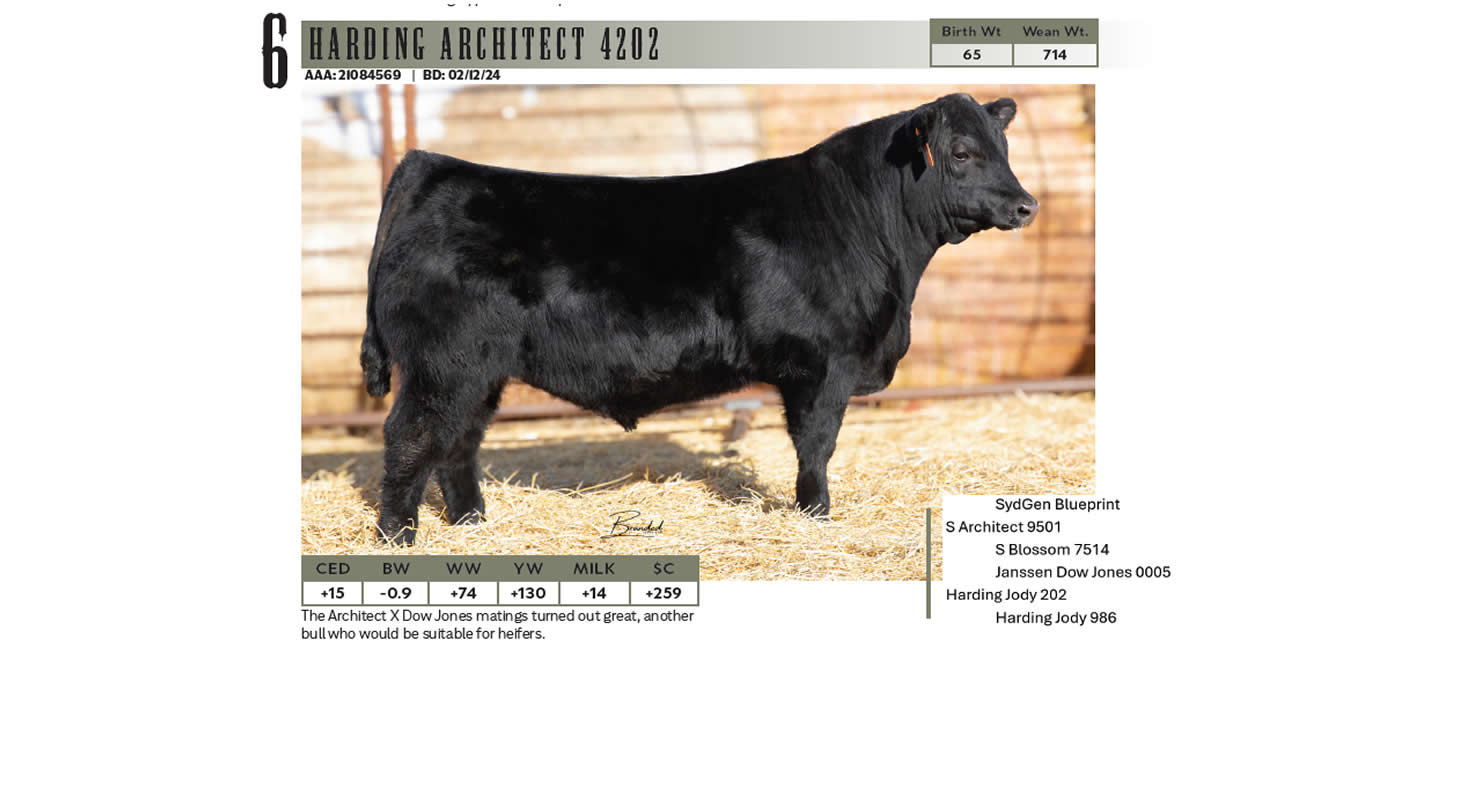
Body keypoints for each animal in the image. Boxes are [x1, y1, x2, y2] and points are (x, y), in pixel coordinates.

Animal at [360, 92, 1038, 544]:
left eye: (1003, 148)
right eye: (961, 152)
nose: (1026, 205)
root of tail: (435, 165)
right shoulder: (824, 363)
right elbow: (816, 445)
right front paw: (815, 514)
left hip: (480, 369)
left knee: (460, 440)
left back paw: (472, 521)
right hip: (444, 365)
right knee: (411, 436)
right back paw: (398, 534)